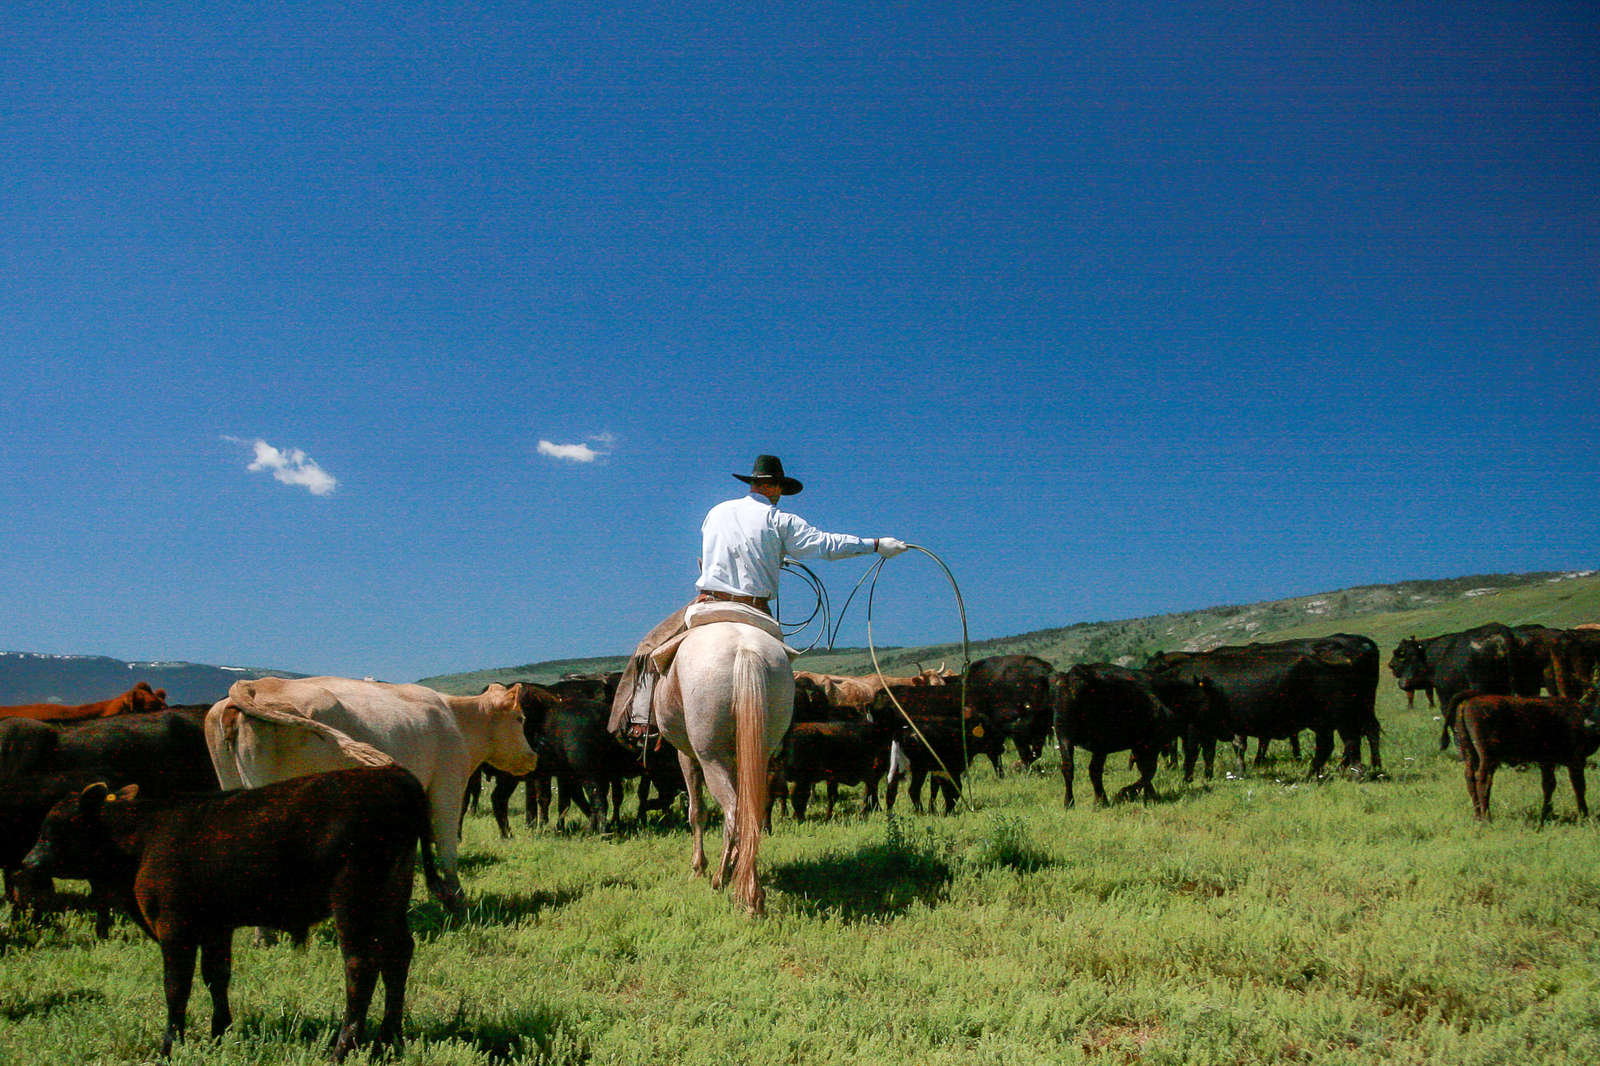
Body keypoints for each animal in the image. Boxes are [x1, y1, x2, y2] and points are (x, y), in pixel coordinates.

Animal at [21, 767, 440, 1060]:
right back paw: (389, 1038)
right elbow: (216, 977)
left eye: (53, 829)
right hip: (391, 895)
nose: (28, 862)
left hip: (354, 898)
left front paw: (170, 1045)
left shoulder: (175, 927)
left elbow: (176, 987)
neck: (143, 838)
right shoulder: (214, 926)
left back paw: (342, 1048)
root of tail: (392, 776)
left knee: (360, 966)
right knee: (397, 955)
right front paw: (219, 1033)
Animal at [204, 676, 539, 908]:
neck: (456, 717)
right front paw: (456, 898)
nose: (533, 756)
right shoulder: (446, 787)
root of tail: (257, 684)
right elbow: (445, 847)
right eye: (520, 718)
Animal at [1450, 687, 1600, 820]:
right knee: (1483, 780)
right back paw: (1487, 818)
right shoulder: (1576, 760)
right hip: (1487, 756)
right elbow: (1579, 787)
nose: (1591, 724)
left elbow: (1549, 785)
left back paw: (1477, 816)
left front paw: (1547, 814)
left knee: (1470, 778)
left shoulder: (1547, 761)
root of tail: (1472, 699)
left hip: (1469, 754)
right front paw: (1584, 815)